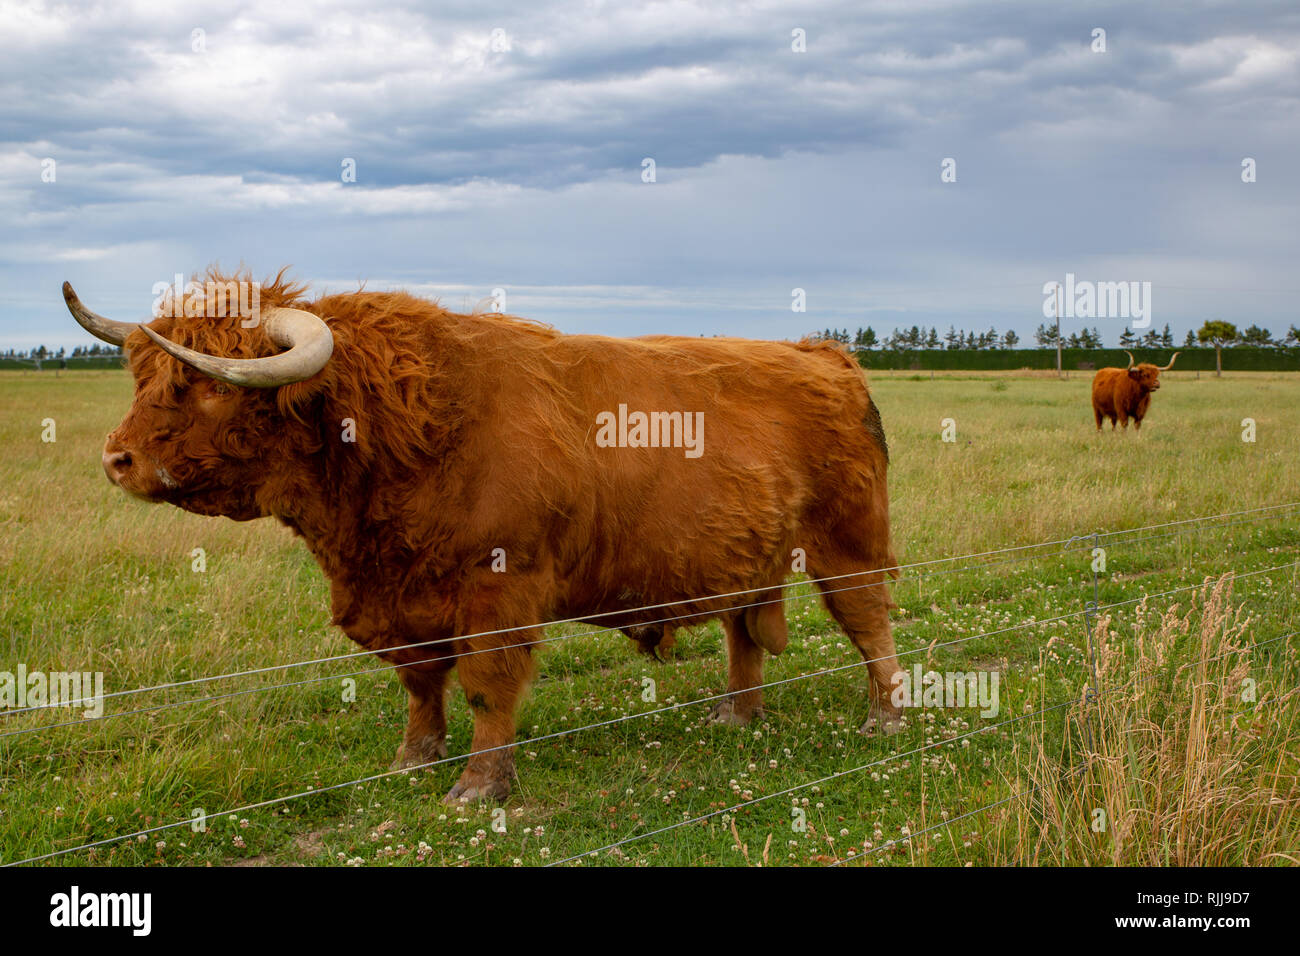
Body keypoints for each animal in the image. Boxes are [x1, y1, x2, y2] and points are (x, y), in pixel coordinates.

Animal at [62, 270, 903, 802]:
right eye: (142, 376)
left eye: (203, 383)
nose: (115, 459)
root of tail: (823, 355)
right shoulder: (397, 601)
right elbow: (420, 683)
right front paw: (411, 761)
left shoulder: (499, 589)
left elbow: (484, 685)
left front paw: (478, 786)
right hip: (741, 552)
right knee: (743, 631)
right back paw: (736, 715)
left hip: (846, 543)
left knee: (869, 624)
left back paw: (883, 720)